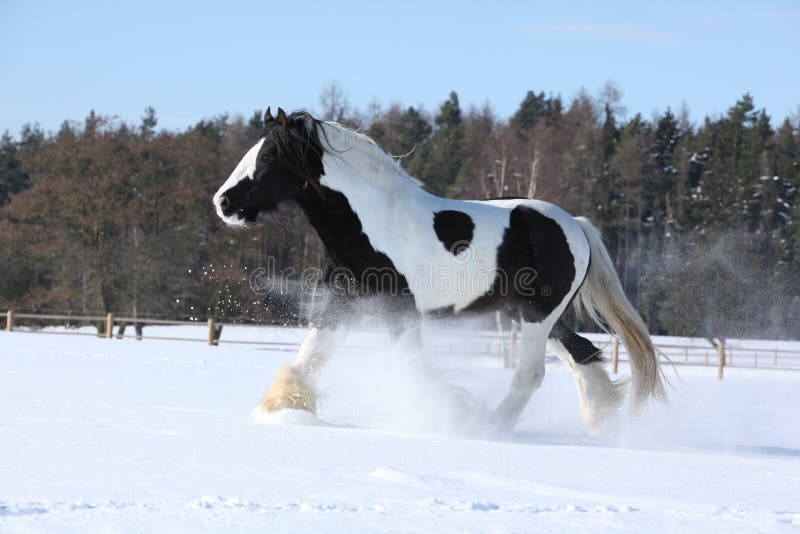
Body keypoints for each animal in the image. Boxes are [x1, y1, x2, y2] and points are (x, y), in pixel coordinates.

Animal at [213, 106, 665, 432]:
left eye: (269, 155)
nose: (223, 203)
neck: (374, 222)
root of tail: (577, 226)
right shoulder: (344, 302)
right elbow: (309, 359)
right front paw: (280, 410)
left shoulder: (400, 311)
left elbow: (417, 370)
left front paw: (452, 414)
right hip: (530, 314)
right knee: (582, 354)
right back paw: (601, 420)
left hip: (538, 316)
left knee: (531, 374)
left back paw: (489, 426)